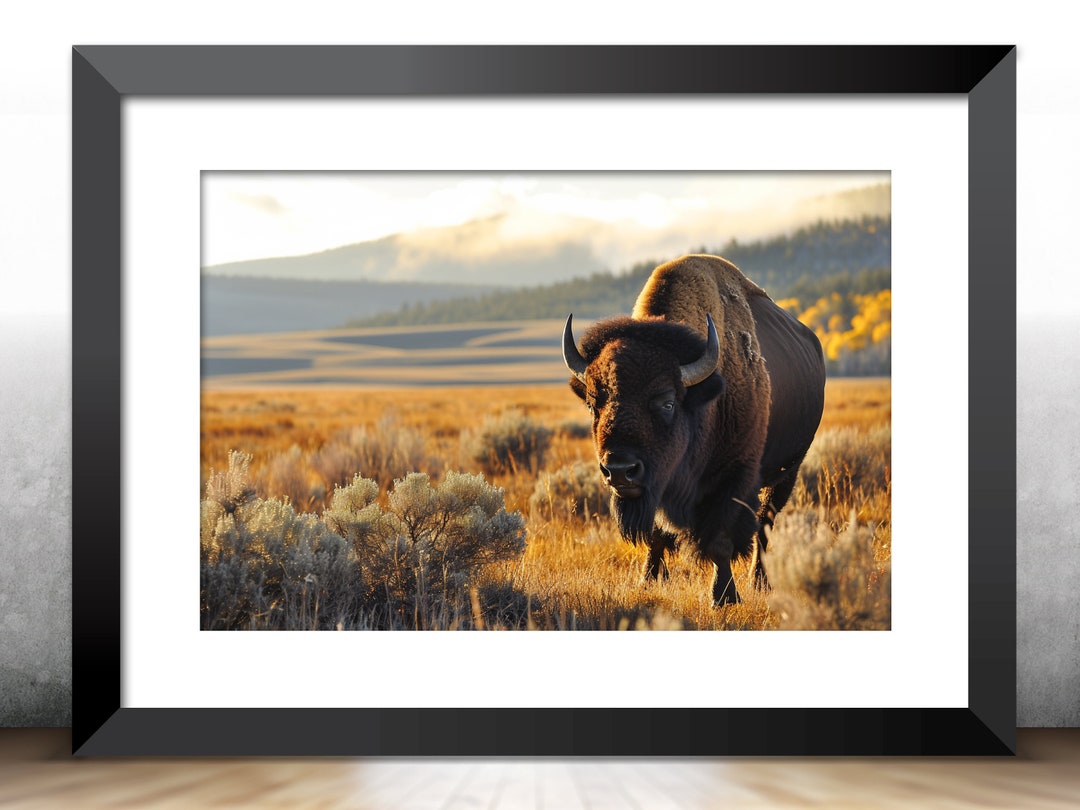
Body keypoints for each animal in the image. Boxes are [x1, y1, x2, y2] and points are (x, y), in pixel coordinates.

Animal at [562, 254, 826, 606]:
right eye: (593, 404)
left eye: (667, 402)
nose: (619, 470)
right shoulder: (656, 484)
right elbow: (656, 534)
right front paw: (648, 580)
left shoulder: (732, 479)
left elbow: (720, 540)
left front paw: (724, 597)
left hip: (787, 471)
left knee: (765, 522)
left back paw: (759, 582)